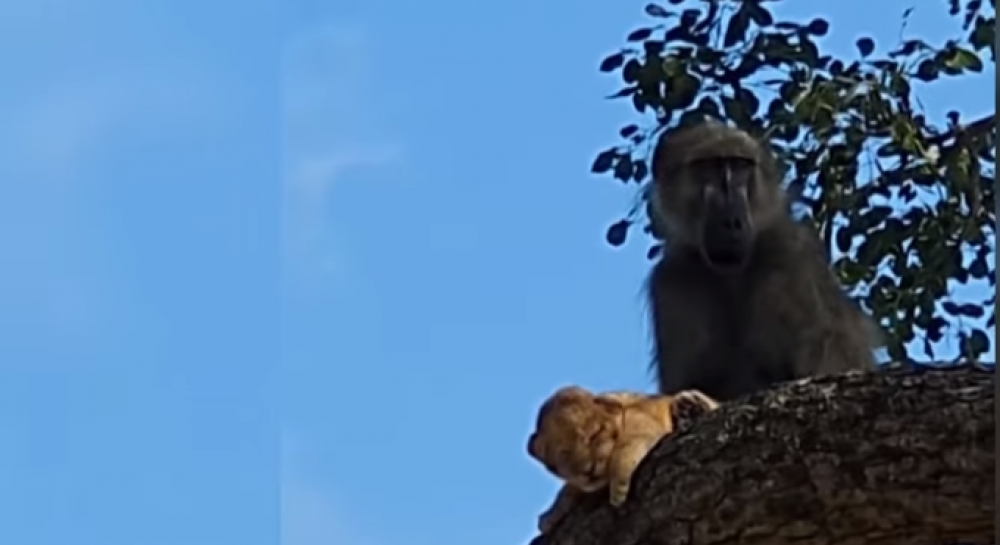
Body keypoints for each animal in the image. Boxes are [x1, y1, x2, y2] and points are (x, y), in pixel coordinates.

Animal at [526, 385, 719, 533]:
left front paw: (618, 490)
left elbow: (627, 449)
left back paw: (690, 406)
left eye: (594, 435)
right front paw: (550, 515)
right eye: (563, 456)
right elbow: (568, 489)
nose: (589, 470)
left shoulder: (643, 424)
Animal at [646, 119, 878, 403]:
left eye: (740, 165)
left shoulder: (792, 255)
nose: (732, 220)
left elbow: (830, 349)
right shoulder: (672, 279)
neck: (732, 274)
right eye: (707, 166)